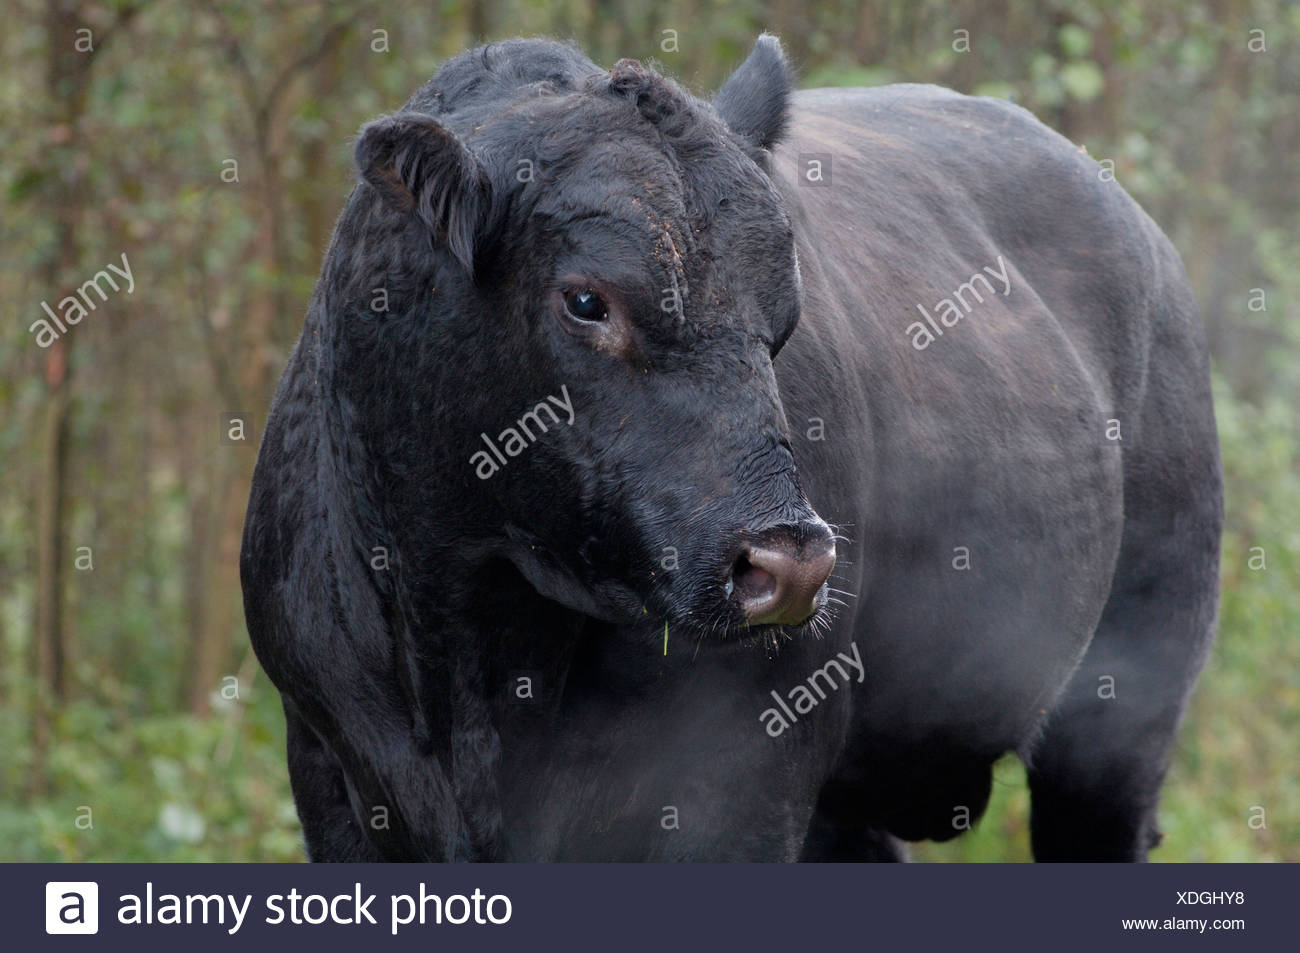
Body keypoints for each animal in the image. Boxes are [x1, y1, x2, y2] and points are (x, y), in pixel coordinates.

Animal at [239, 35, 1223, 861]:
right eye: (587, 300)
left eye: (782, 314)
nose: (788, 562)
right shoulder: (330, 768)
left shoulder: (739, 780)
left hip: (1127, 704)